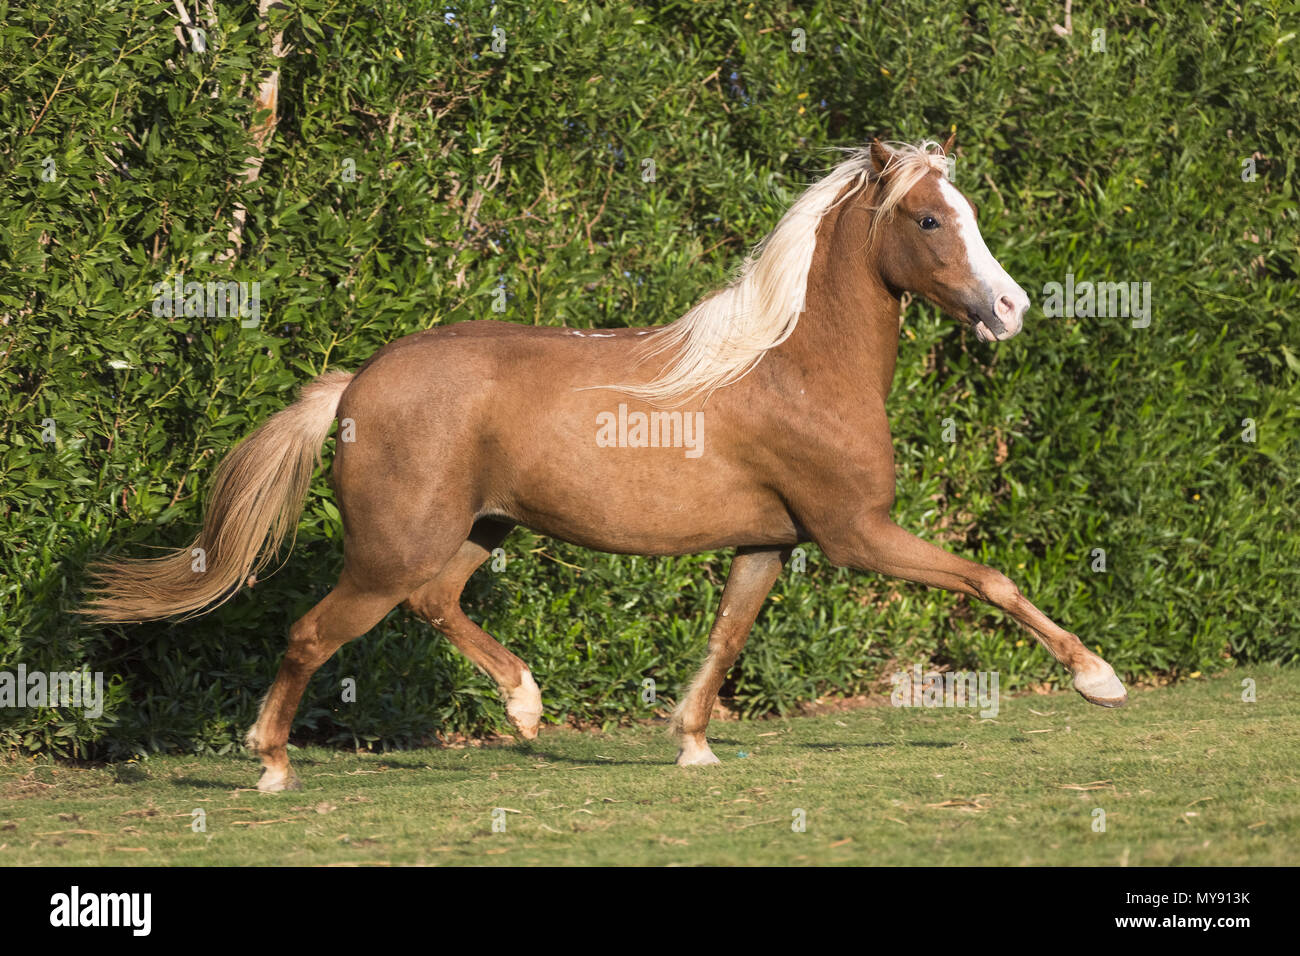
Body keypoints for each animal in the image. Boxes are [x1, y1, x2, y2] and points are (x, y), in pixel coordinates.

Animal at [84, 136, 1127, 792]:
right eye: (928, 221)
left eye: (965, 211)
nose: (1011, 308)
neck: (793, 366)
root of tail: (352, 389)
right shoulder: (856, 535)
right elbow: (990, 579)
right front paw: (1098, 679)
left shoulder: (769, 546)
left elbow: (726, 640)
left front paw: (693, 747)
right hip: (389, 552)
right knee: (311, 635)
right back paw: (272, 766)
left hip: (476, 531)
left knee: (436, 602)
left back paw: (525, 707)